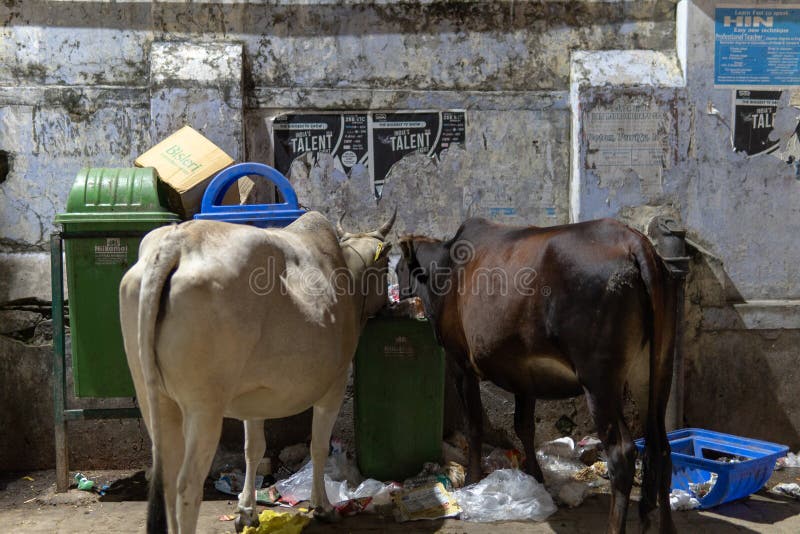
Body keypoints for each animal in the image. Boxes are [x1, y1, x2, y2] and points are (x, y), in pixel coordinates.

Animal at [119, 210, 395, 534]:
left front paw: (247, 511)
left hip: (154, 398)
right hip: (204, 407)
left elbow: (253, 449)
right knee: (186, 485)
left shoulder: (253, 399)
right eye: (386, 267)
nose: (390, 303)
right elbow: (318, 447)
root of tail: (178, 241)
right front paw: (323, 506)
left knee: (166, 477)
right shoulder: (335, 385)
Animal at [397, 217, 677, 534]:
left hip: (599, 381)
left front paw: (472, 478)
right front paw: (535, 476)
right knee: (662, 448)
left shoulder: (461, 363)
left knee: (622, 454)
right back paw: (665, 526)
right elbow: (524, 426)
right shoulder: (523, 374)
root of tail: (636, 243)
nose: (397, 292)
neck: (443, 269)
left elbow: (474, 424)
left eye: (398, 267)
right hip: (655, 371)